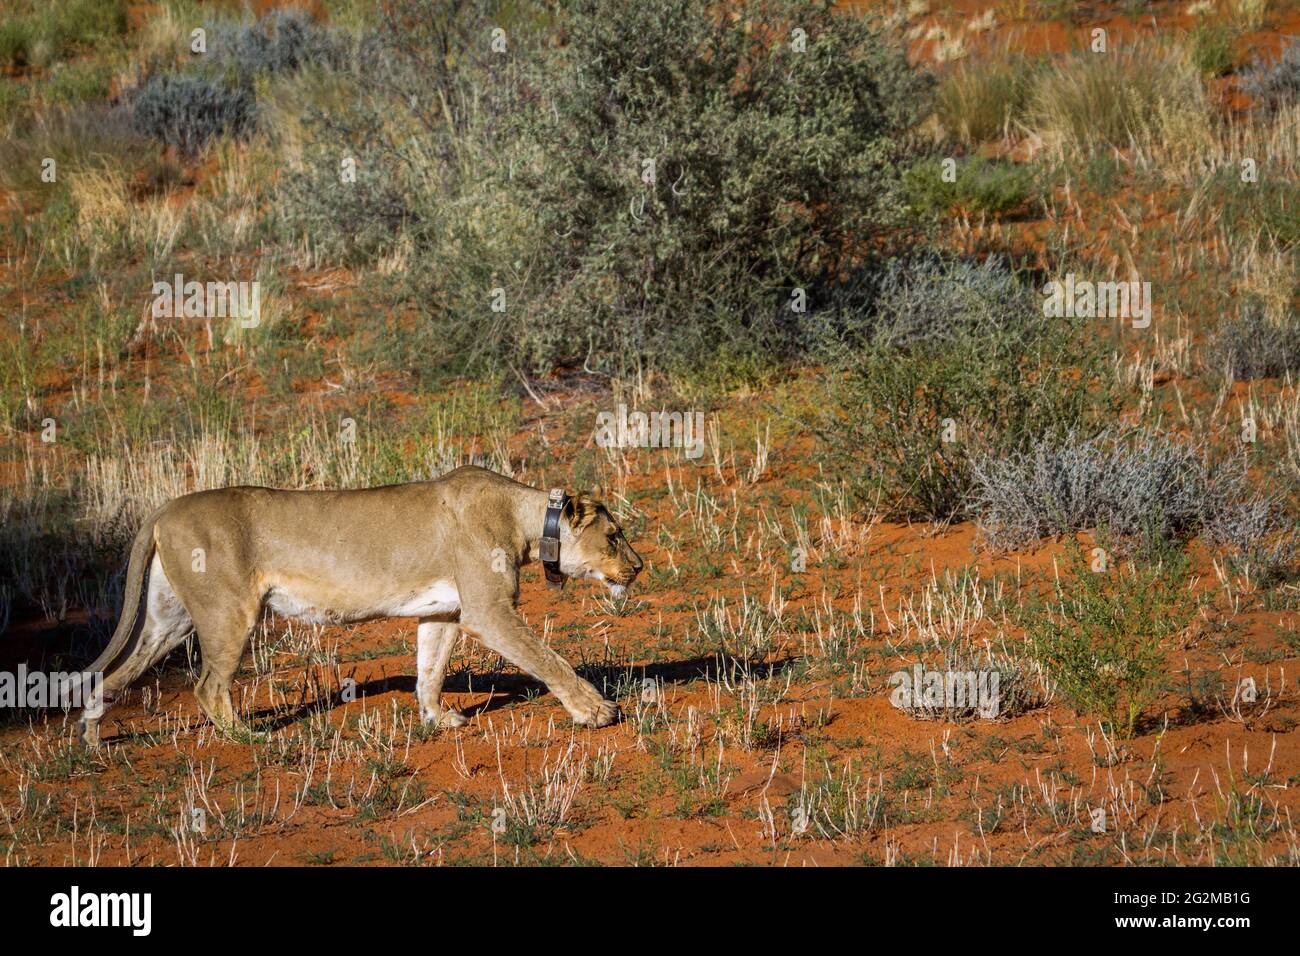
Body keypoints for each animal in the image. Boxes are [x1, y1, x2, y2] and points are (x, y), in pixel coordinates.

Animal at [76, 466, 643, 747]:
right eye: (615, 536)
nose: (639, 567)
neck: (524, 519)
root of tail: (165, 508)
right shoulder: (488, 611)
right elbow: (549, 660)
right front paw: (596, 711)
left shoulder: (443, 612)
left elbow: (430, 670)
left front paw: (437, 719)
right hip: (229, 613)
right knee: (207, 686)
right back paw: (247, 737)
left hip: (167, 620)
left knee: (115, 675)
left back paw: (90, 738)